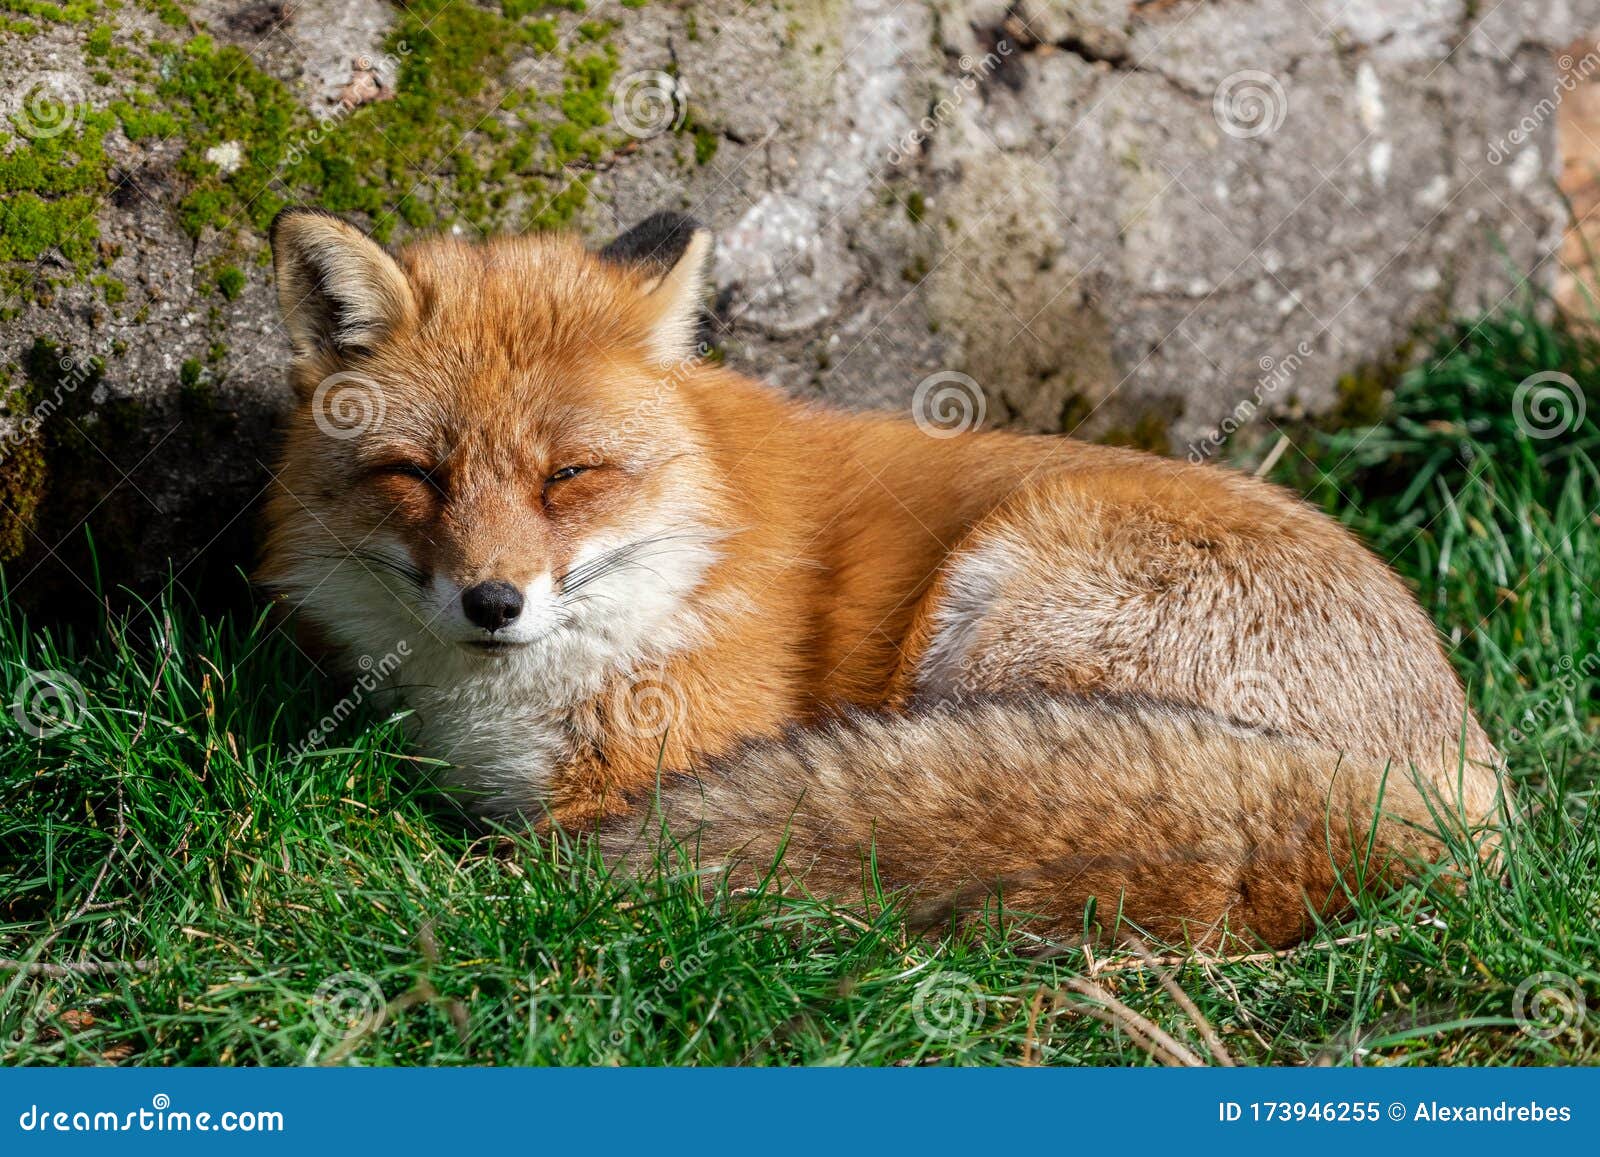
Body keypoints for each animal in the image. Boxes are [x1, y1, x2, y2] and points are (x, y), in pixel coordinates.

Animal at [260, 207, 1504, 949]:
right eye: (416, 475)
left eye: (571, 475)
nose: (493, 601)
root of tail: (1450, 777)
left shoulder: (654, 762)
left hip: (1001, 611)